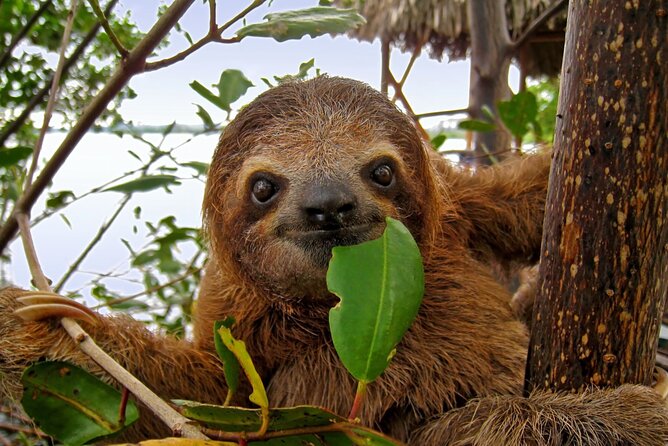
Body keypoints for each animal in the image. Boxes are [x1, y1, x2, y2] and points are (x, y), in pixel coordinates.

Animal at [1, 76, 667, 444]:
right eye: (263, 187)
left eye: (382, 171)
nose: (328, 205)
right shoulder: (234, 319)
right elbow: (191, 404)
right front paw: (39, 326)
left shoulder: (461, 209)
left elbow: (527, 198)